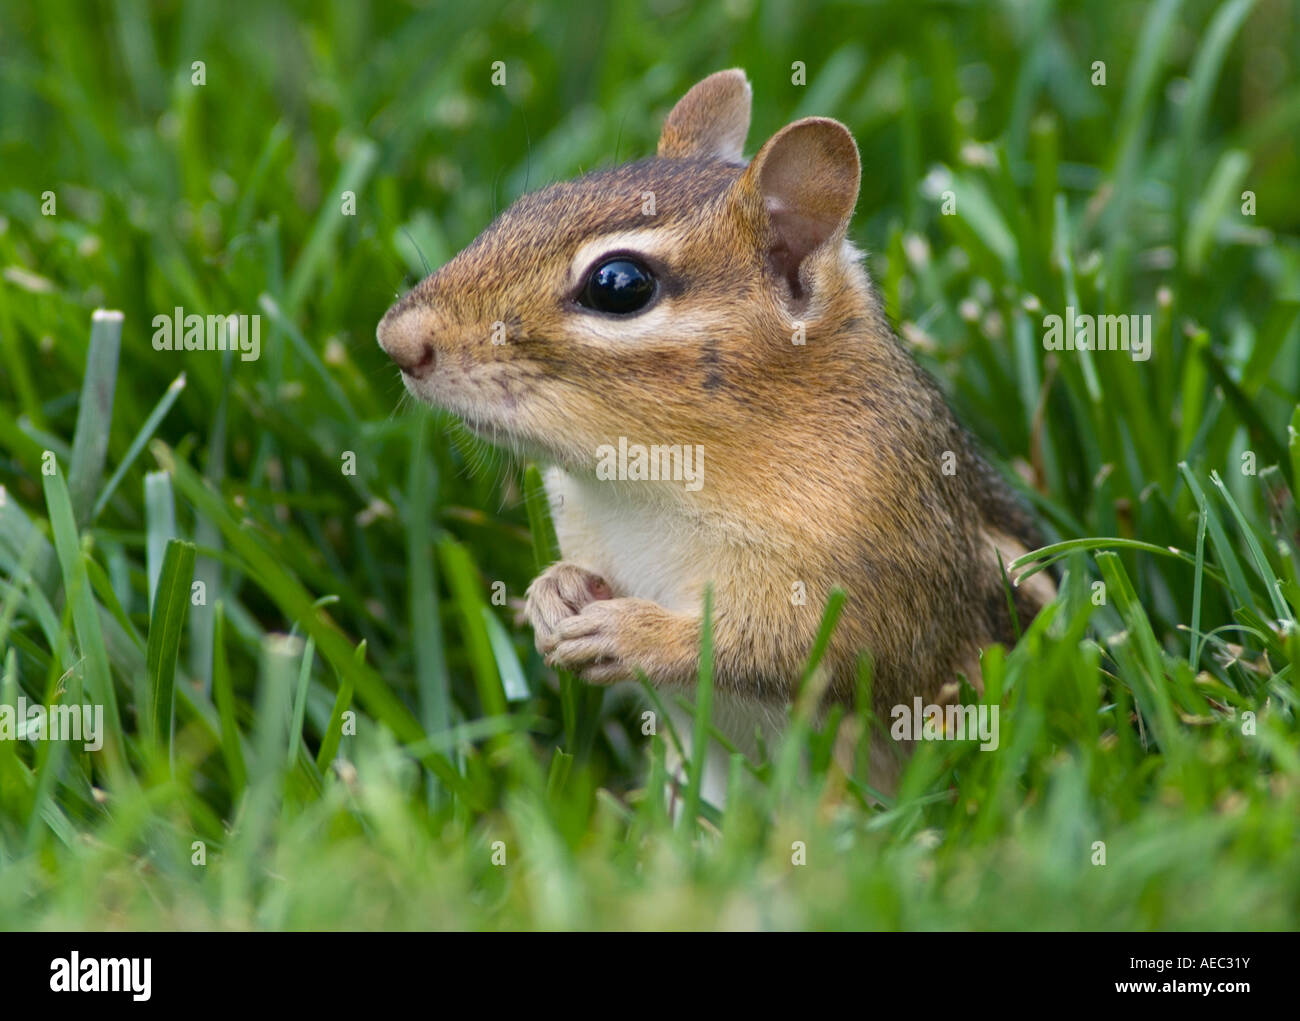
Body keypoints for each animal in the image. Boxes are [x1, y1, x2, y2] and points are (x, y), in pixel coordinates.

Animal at [377, 69, 1055, 801]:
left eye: (619, 284)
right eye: (528, 204)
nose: (398, 341)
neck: (650, 481)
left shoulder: (874, 563)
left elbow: (798, 651)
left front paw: (636, 634)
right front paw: (552, 595)